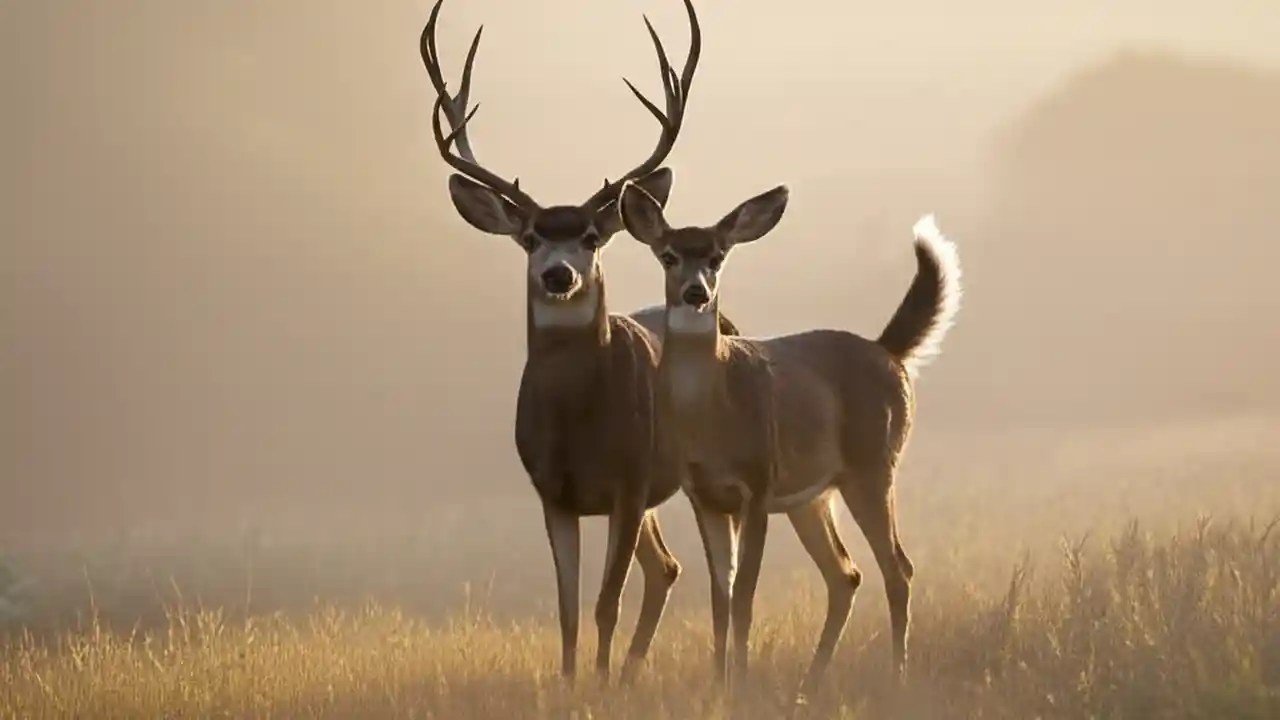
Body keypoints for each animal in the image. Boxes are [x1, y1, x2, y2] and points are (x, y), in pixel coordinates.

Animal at [418, 0, 740, 682]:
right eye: (530, 237)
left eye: (592, 237)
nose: (558, 275)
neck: (577, 423)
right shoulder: (553, 492)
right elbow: (567, 609)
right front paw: (573, 684)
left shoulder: (628, 480)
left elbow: (603, 603)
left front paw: (596, 685)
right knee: (666, 568)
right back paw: (632, 671)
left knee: (697, 574)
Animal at [617, 181, 962, 694]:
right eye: (668, 255)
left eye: (717, 256)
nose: (696, 292)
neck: (711, 415)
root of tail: (889, 351)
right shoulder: (705, 496)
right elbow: (721, 596)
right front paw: (719, 681)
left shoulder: (758, 486)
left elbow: (744, 595)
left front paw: (740, 682)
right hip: (812, 497)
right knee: (846, 574)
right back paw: (810, 681)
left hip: (873, 467)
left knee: (898, 568)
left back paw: (897, 675)